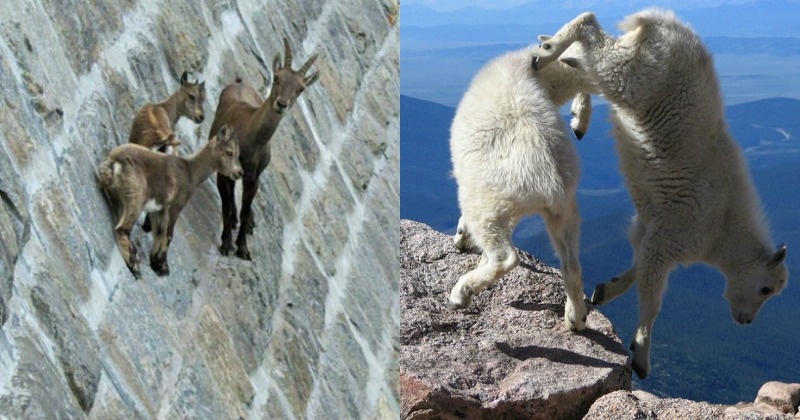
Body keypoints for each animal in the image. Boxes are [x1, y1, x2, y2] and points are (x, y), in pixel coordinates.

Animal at [99, 125, 243, 277]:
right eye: (229, 153)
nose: (240, 173)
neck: (190, 172)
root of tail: (112, 162)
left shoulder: (159, 209)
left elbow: (159, 231)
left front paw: (156, 263)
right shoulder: (175, 205)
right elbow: (168, 234)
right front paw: (162, 267)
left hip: (119, 200)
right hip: (137, 198)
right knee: (122, 229)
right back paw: (135, 265)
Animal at [208, 38, 319, 260]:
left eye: (301, 88)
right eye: (277, 77)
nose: (282, 103)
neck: (250, 141)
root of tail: (239, 83)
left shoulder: (254, 178)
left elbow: (245, 208)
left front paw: (243, 248)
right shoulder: (223, 172)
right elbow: (225, 204)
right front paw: (226, 244)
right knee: (231, 196)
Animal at [447, 43, 596, 332]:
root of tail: (546, 177)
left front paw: (462, 238)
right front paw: (578, 120)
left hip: (486, 202)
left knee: (506, 256)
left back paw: (462, 293)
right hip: (564, 209)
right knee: (572, 265)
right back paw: (576, 318)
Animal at [532, 8, 788, 378]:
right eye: (766, 288)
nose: (746, 321)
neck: (721, 230)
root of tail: (665, 22)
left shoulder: (650, 228)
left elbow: (637, 264)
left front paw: (603, 291)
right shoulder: (670, 236)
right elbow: (652, 298)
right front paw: (641, 357)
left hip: (630, 64)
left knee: (589, 62)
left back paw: (576, 106)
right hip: (634, 75)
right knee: (591, 32)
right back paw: (548, 51)